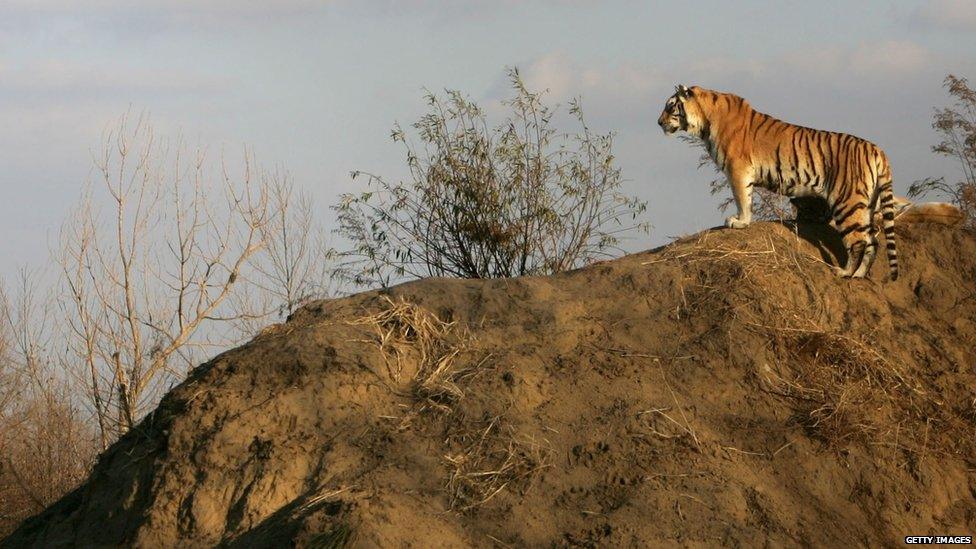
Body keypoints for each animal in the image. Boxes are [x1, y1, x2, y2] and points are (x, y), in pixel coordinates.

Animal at [658, 85, 899, 280]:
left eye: (670, 107)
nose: (659, 122)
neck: (705, 119)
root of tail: (877, 149)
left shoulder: (737, 169)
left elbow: (742, 198)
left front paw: (739, 222)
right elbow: (746, 198)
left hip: (847, 202)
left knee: (858, 241)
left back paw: (845, 272)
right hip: (866, 205)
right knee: (873, 241)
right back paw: (858, 275)